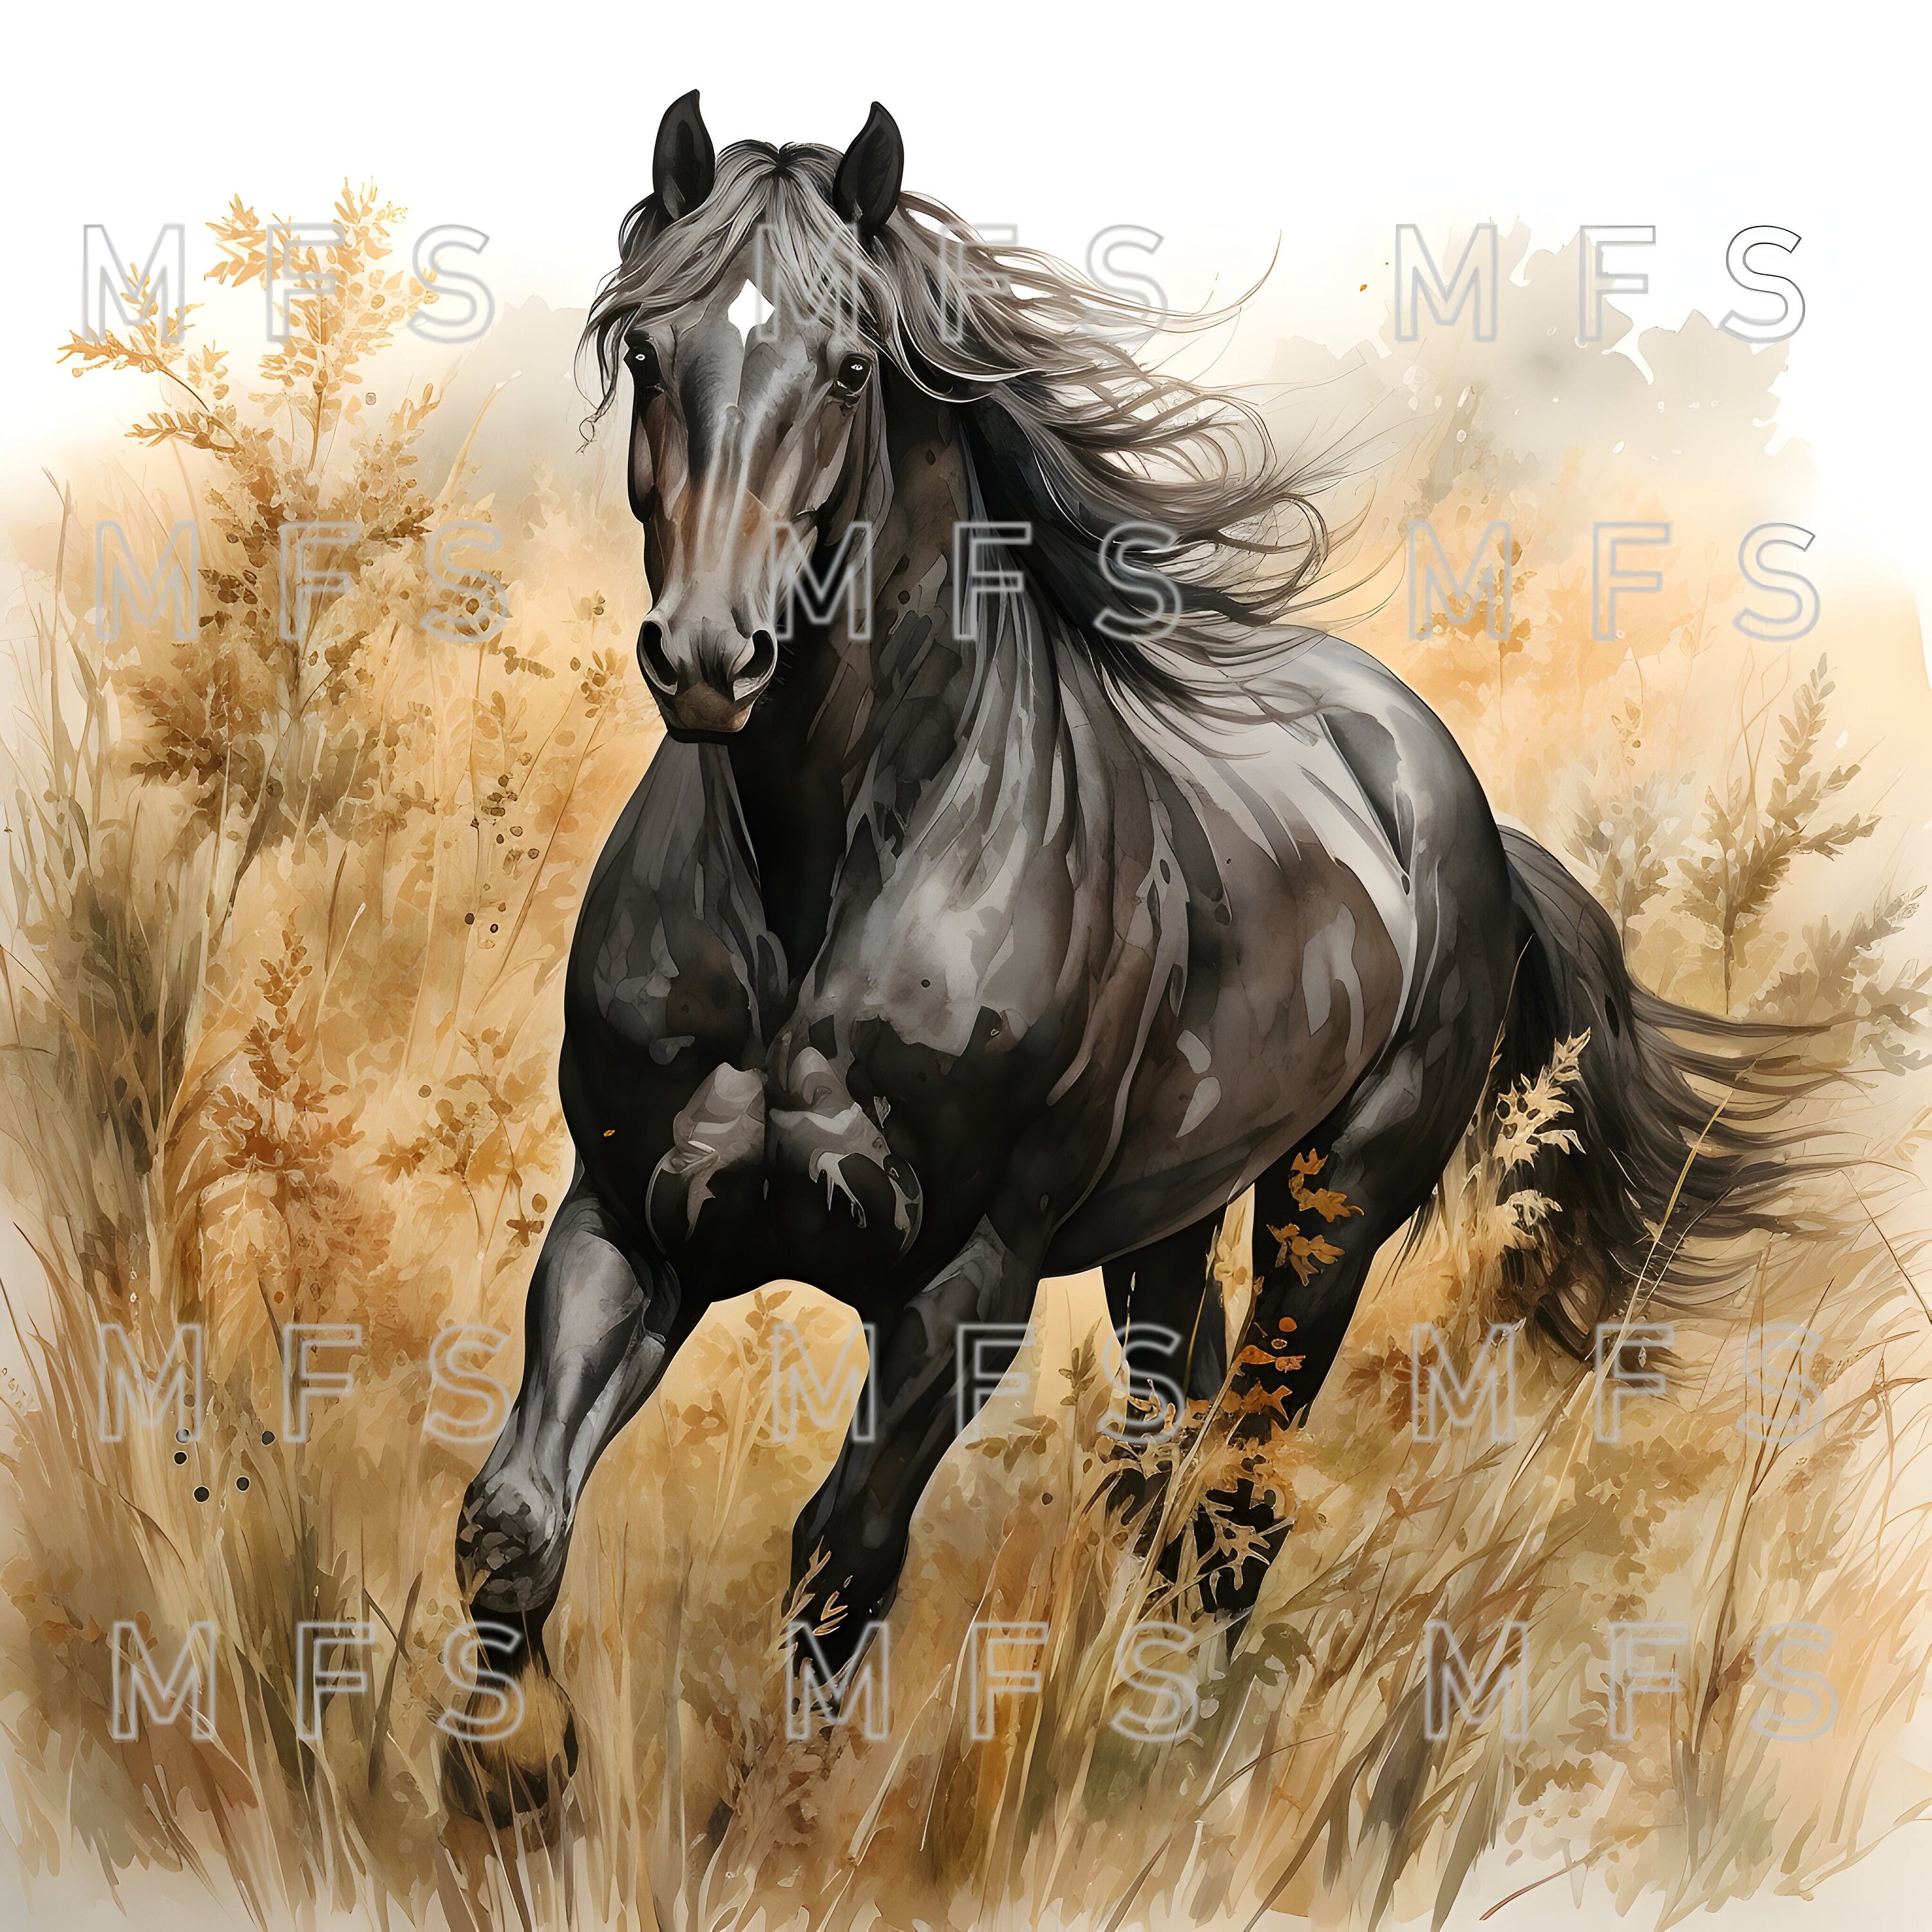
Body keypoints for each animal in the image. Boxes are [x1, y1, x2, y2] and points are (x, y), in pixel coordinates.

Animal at [441, 92, 1803, 1824]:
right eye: (648, 348)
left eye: (849, 367)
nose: (707, 657)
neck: (820, 888)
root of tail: (1458, 802)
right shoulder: (626, 1221)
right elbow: (513, 1518)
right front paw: (504, 1773)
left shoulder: (964, 1281)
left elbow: (839, 1555)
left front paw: (778, 1824)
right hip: (1168, 1223)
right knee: (1169, 1462)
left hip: (1326, 1212)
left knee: (1237, 1500)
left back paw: (1172, 1765)